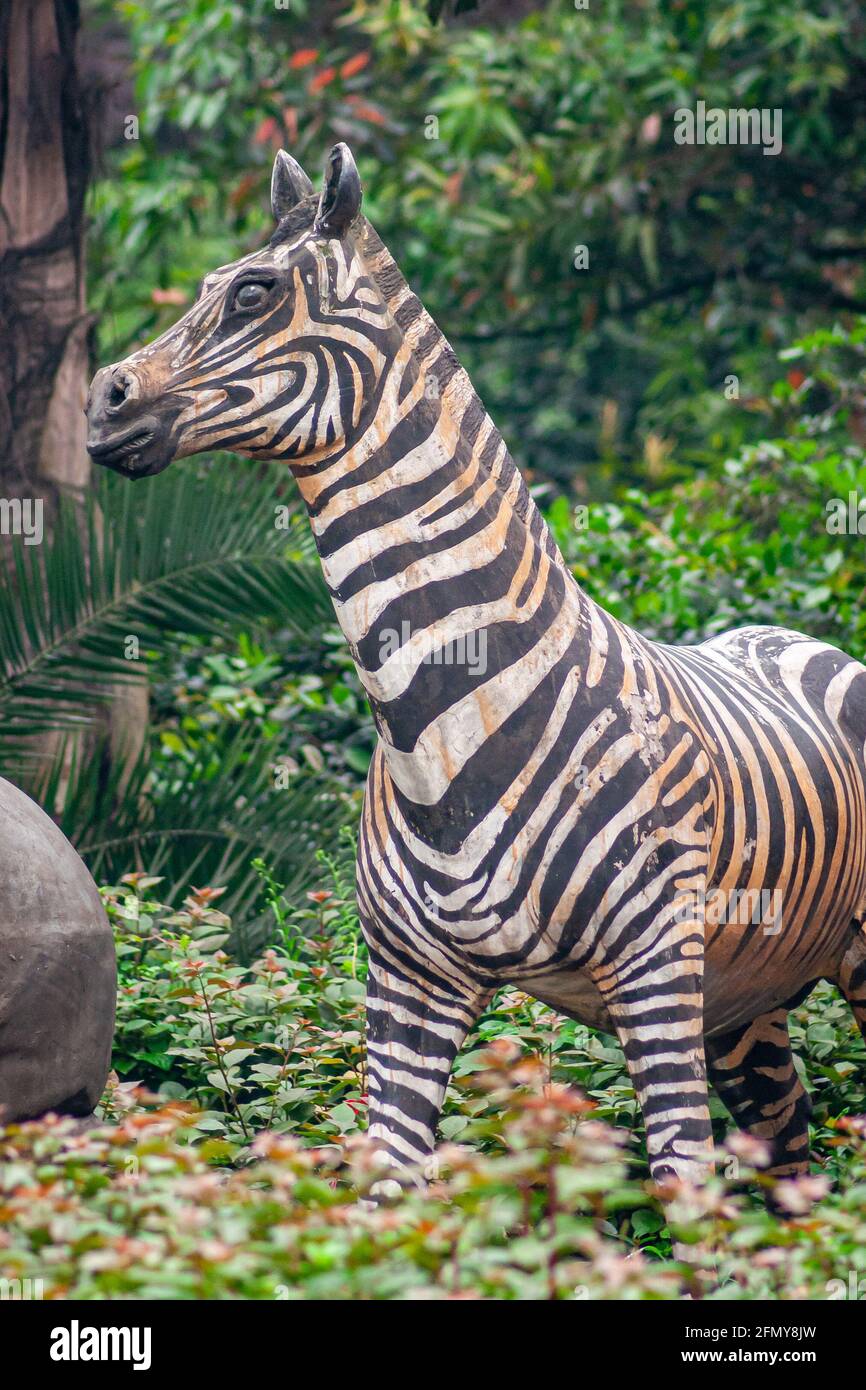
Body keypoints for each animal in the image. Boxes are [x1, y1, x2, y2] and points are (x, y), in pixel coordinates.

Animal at [86, 144, 866, 1207]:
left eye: (252, 293)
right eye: (206, 286)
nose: (102, 400)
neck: (440, 718)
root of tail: (789, 634)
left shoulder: (657, 973)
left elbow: (680, 1192)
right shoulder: (410, 983)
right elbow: (385, 1192)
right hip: (746, 1004)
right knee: (791, 1168)